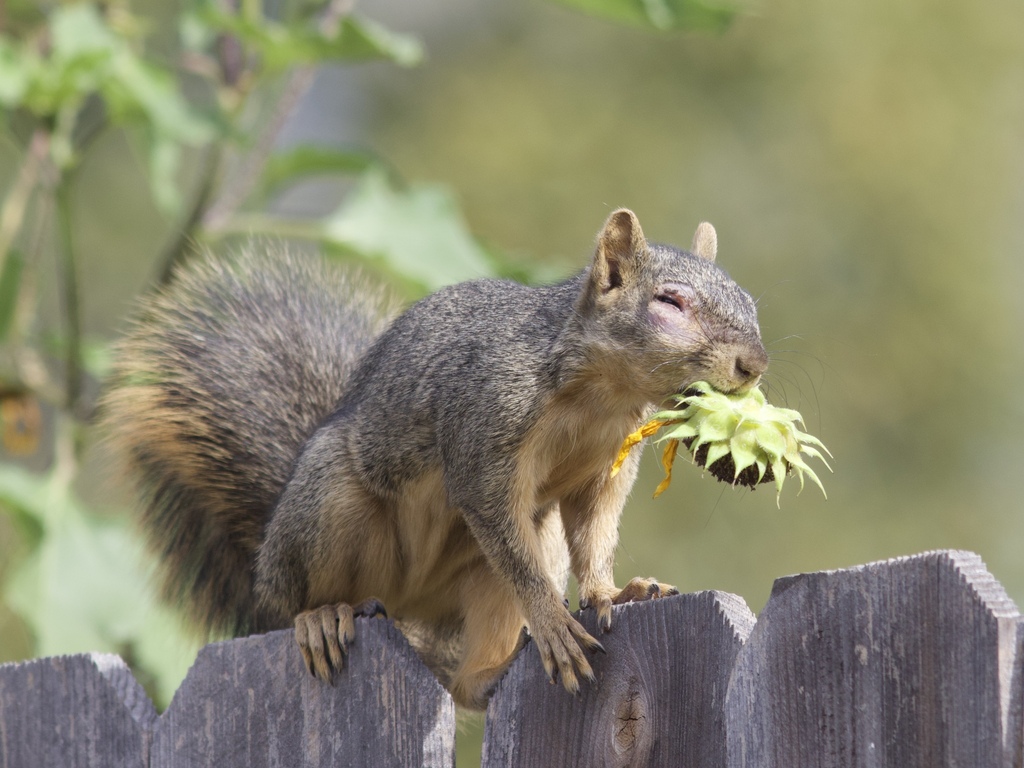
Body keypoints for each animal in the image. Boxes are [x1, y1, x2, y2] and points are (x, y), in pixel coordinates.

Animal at [101, 208, 768, 710]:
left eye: (752, 301)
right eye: (670, 302)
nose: (753, 365)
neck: (604, 395)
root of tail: (407, 609)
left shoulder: (604, 470)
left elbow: (595, 532)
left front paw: (613, 591)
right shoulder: (484, 429)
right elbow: (496, 517)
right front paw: (554, 621)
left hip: (498, 569)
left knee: (469, 677)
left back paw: (491, 675)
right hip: (328, 504)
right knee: (293, 600)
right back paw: (323, 616)